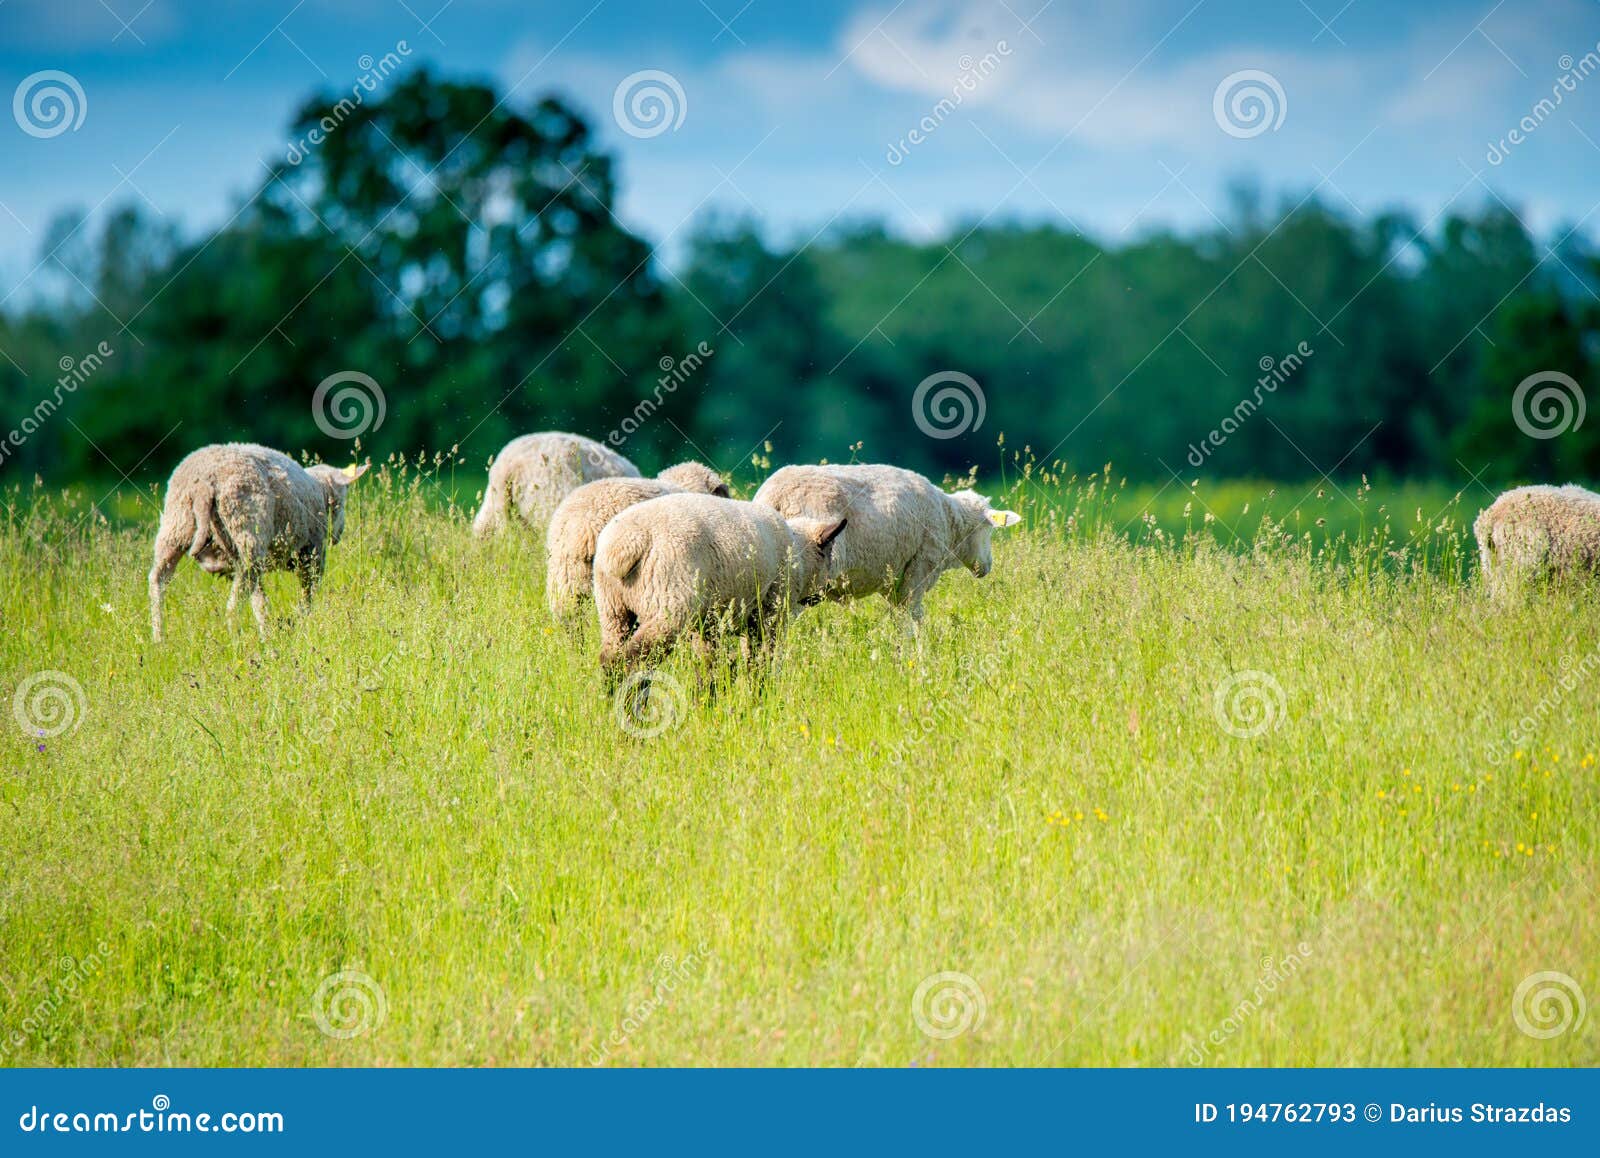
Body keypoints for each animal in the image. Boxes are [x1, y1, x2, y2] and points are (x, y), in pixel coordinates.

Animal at [148, 443, 369, 641]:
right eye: (342, 503)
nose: (338, 535)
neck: (320, 491)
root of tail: (203, 483)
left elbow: (260, 602)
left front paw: (268, 633)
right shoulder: (313, 554)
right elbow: (308, 595)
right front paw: (303, 624)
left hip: (176, 525)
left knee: (158, 580)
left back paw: (159, 638)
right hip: (247, 532)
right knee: (233, 606)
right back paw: (237, 642)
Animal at [592, 493, 846, 683]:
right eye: (829, 556)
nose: (825, 591)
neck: (798, 553)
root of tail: (625, 543)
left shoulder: (708, 625)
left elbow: (709, 664)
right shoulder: (769, 613)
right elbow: (760, 659)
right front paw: (759, 692)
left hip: (613, 610)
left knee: (610, 659)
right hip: (668, 607)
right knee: (632, 659)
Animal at [752, 463, 1020, 636]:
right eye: (989, 530)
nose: (986, 567)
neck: (949, 520)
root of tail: (775, 497)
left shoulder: (894, 581)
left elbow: (898, 620)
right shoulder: (918, 570)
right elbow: (913, 619)